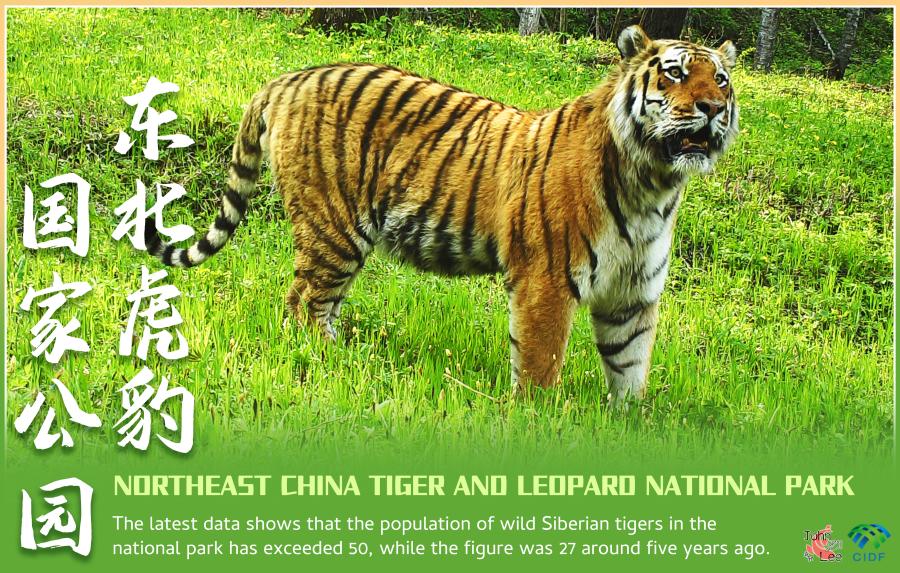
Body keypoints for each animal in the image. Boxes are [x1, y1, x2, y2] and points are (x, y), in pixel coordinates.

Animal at [145, 25, 739, 403]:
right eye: (674, 74)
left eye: (721, 80)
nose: (712, 108)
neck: (654, 185)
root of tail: (287, 78)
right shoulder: (546, 281)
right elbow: (541, 364)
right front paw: (539, 420)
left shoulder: (632, 295)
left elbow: (629, 368)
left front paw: (627, 424)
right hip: (334, 229)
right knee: (303, 303)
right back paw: (336, 363)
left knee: (316, 303)